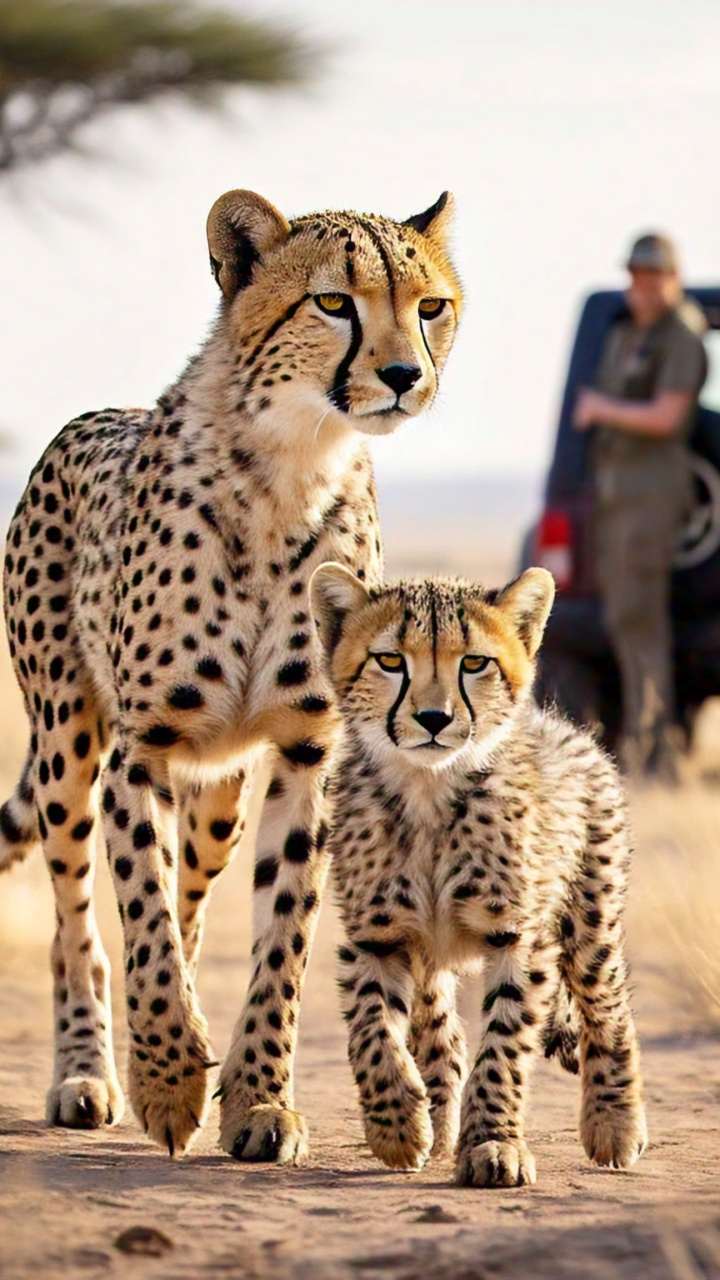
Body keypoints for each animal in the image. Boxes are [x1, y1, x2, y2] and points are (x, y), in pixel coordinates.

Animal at [0, 186, 462, 1162]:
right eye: (334, 302)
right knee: (77, 920)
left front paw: (258, 1099)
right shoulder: (140, 751)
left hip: (218, 798)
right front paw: (169, 1082)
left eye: (430, 305)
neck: (292, 463)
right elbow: (139, 918)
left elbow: (279, 935)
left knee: (192, 894)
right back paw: (87, 1073)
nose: (405, 374)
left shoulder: (305, 753)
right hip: (66, 747)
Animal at [310, 561, 647, 1186]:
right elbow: (372, 1032)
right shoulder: (376, 935)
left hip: (589, 920)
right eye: (389, 660)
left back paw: (615, 1123)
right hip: (428, 953)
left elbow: (505, 1046)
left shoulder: (518, 937)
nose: (433, 718)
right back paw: (437, 1112)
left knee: (607, 1005)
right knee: (438, 1024)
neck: (429, 788)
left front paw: (494, 1144)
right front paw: (398, 1125)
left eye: (474, 663)